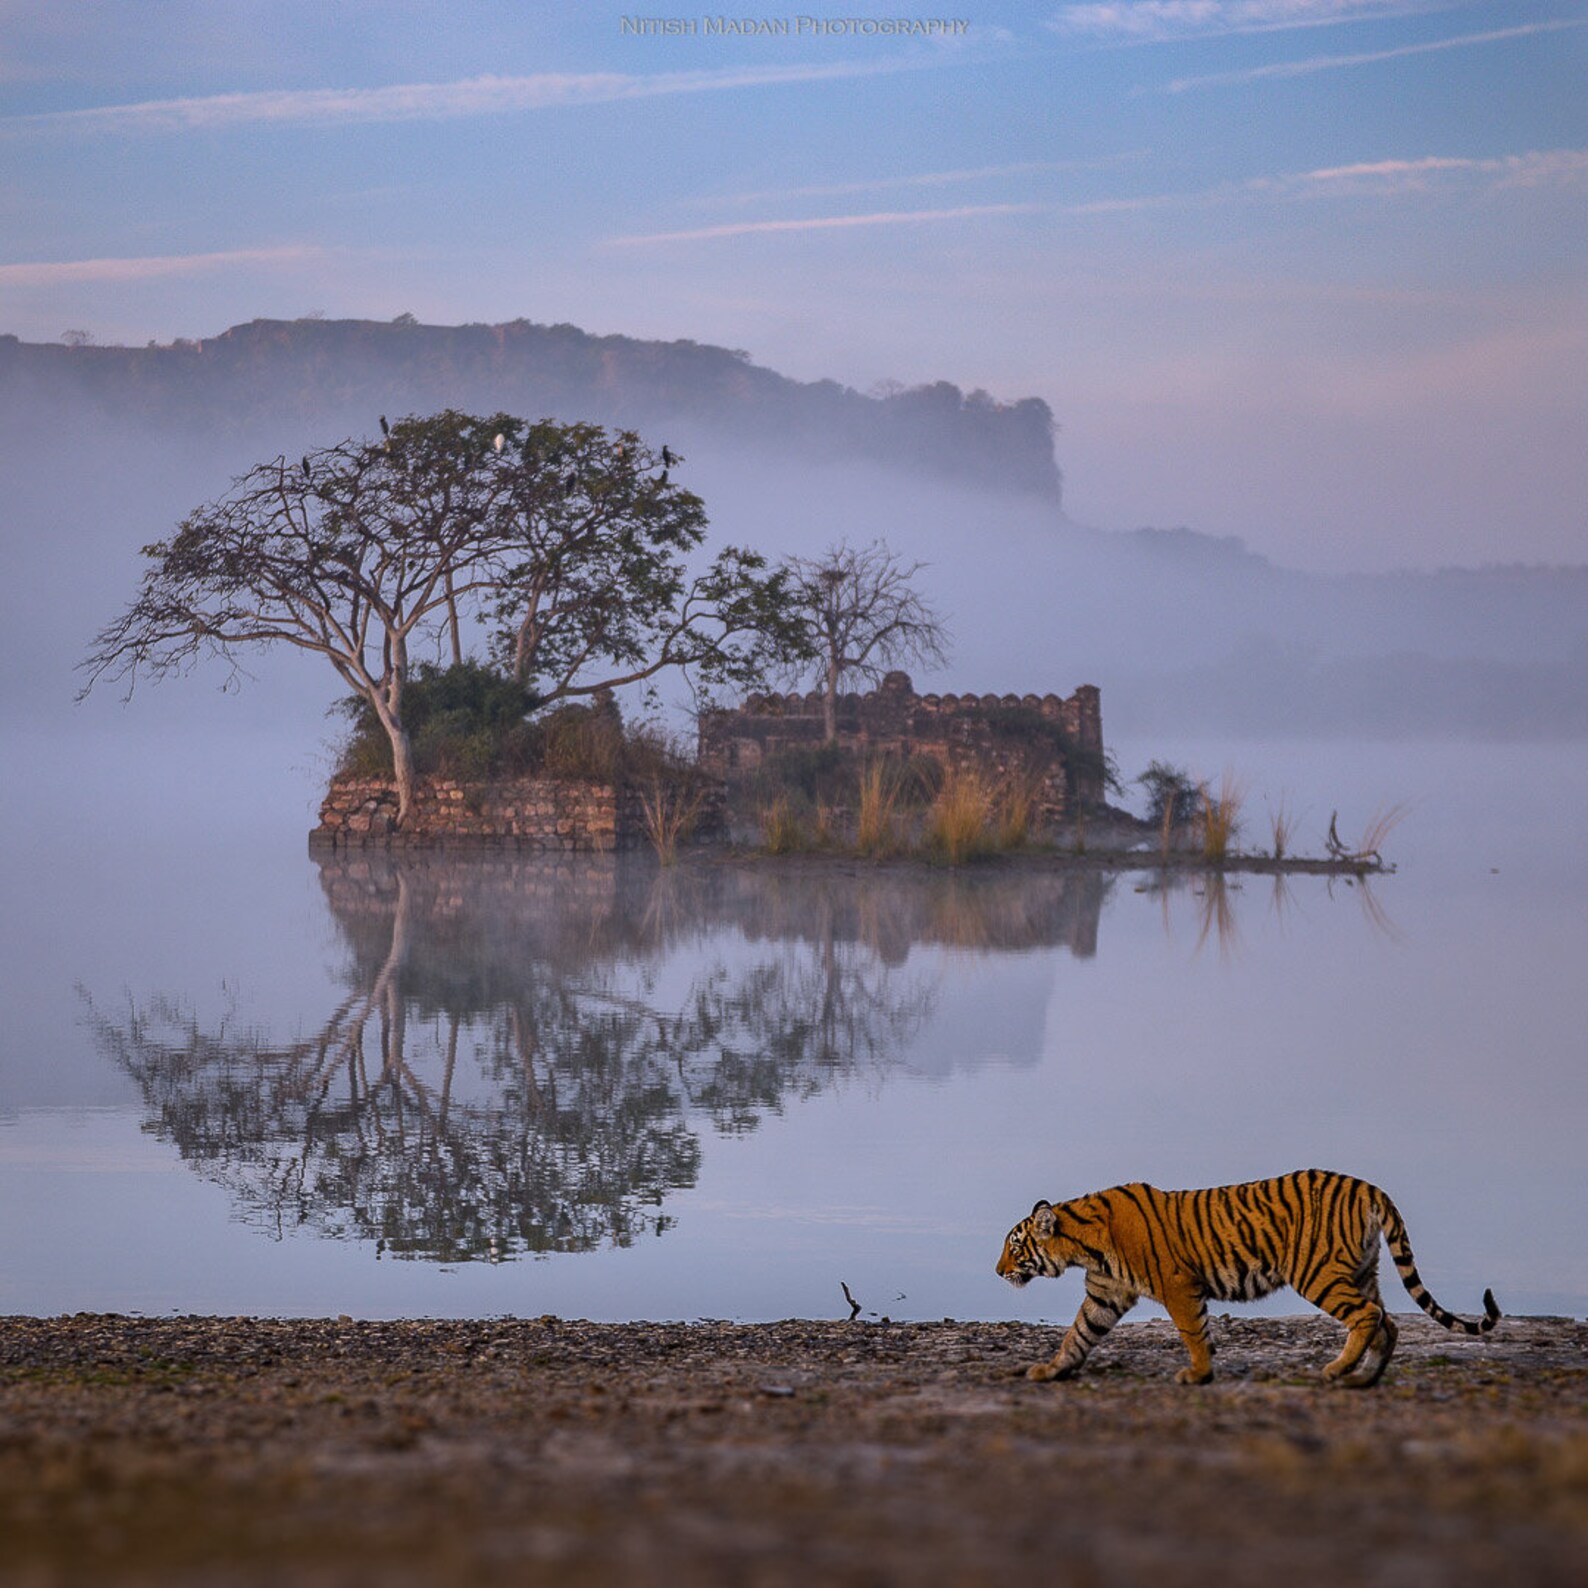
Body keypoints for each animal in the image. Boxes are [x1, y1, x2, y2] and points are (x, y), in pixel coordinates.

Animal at [995, 1168, 1500, 1388]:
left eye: (1015, 1247)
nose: (998, 1271)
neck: (1084, 1245)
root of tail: (1368, 1186)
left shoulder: (1178, 1287)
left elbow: (1193, 1332)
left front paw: (1198, 1374)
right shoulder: (1105, 1294)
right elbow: (1077, 1334)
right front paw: (1051, 1370)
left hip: (1317, 1273)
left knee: (1368, 1316)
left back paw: (1337, 1369)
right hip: (1361, 1270)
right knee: (1388, 1322)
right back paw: (1364, 1377)